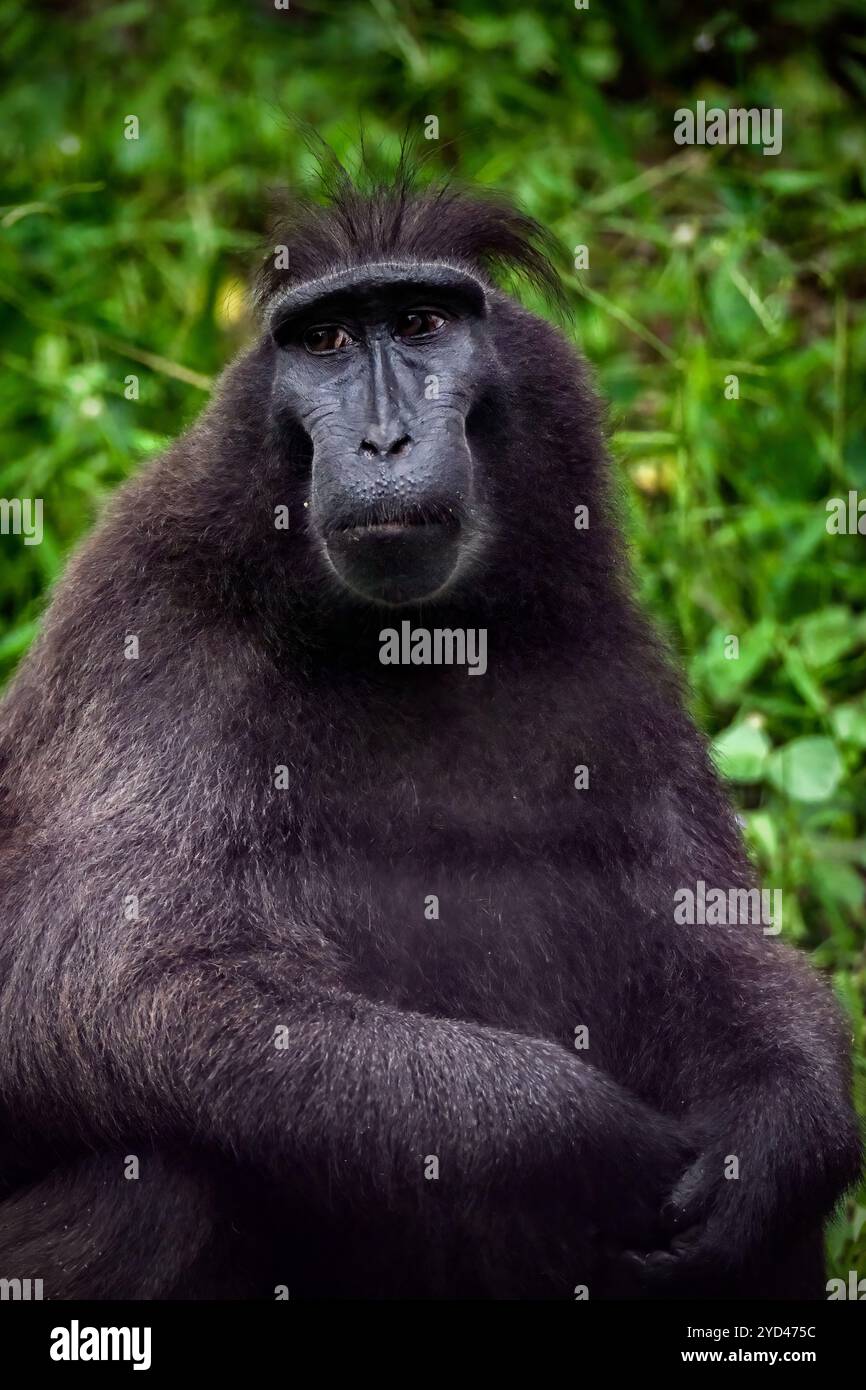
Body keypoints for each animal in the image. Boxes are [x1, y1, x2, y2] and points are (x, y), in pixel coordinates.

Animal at [0, 165, 860, 1300]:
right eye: (323, 341)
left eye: (419, 323)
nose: (382, 443)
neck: (409, 642)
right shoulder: (149, 625)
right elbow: (91, 975)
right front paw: (572, 1138)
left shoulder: (605, 651)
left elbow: (715, 949)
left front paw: (776, 1129)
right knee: (161, 1176)